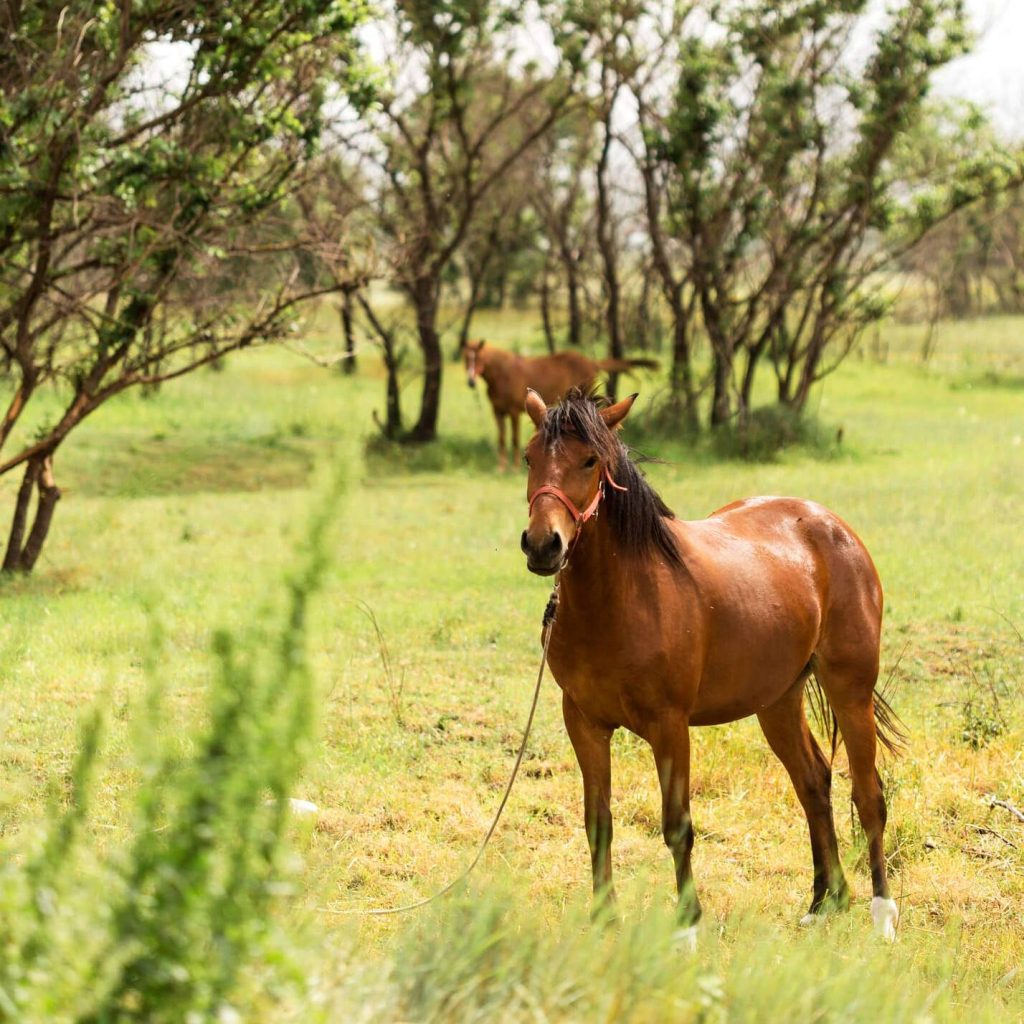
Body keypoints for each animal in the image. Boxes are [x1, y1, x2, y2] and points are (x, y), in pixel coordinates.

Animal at [463, 339, 657, 470]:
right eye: (466, 359)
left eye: (478, 358)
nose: (470, 382)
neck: (503, 373)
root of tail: (591, 362)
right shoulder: (498, 411)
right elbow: (502, 439)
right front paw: (501, 468)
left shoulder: (513, 412)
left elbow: (514, 439)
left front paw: (515, 467)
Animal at [519, 387, 903, 940]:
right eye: (529, 457)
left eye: (590, 460)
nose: (542, 545)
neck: (622, 598)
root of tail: (832, 525)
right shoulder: (584, 723)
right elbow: (599, 823)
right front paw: (604, 921)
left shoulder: (669, 726)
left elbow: (677, 825)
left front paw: (687, 928)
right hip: (777, 701)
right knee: (814, 782)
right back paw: (825, 902)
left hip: (850, 692)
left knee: (869, 796)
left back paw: (882, 916)